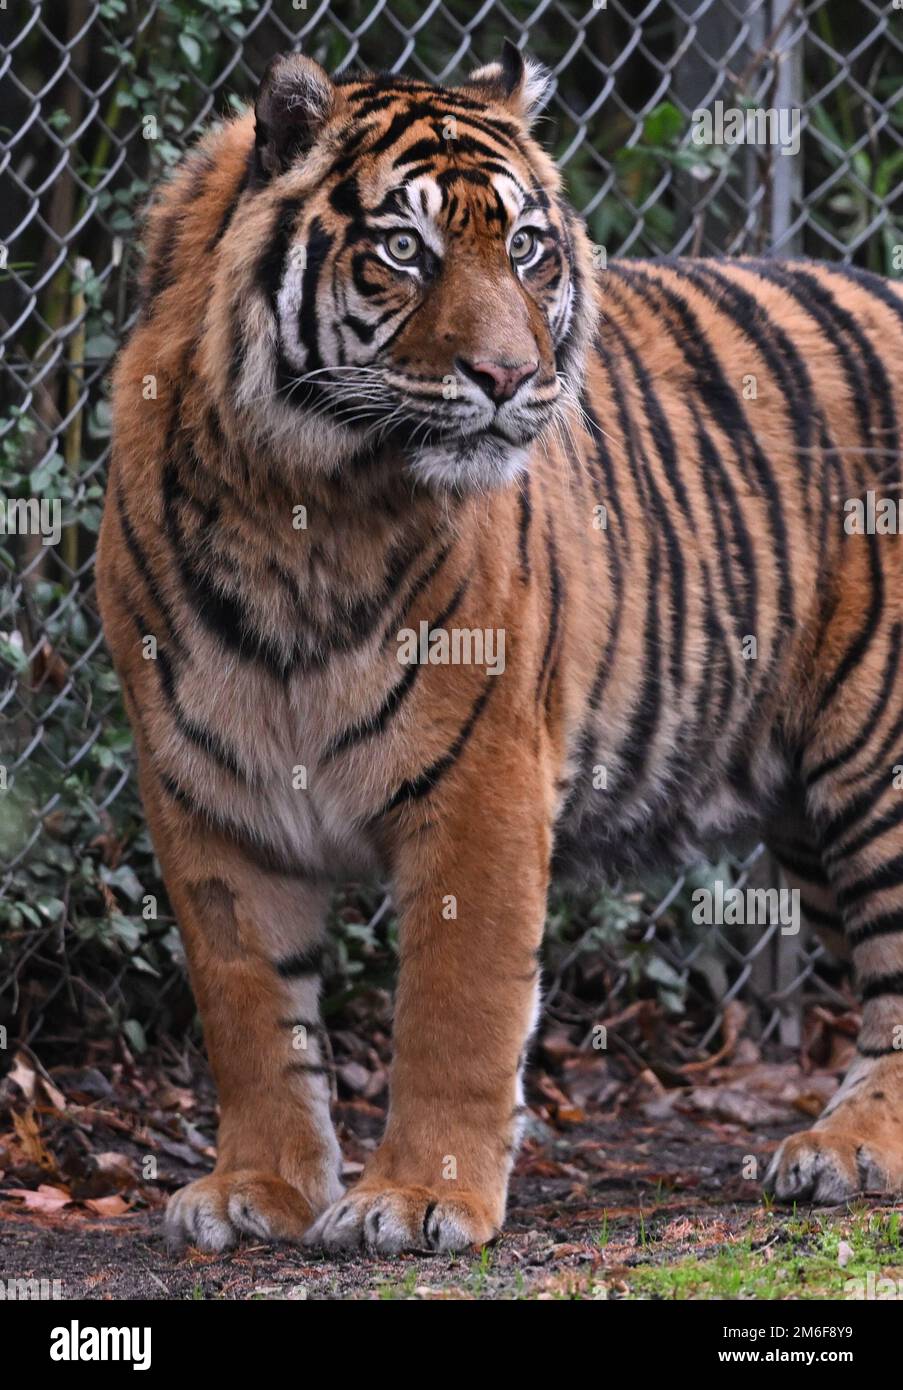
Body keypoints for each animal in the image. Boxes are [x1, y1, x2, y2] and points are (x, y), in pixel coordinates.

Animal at [97, 42, 903, 1256]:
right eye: (403, 250)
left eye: (525, 248)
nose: (509, 377)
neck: (299, 510)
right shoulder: (203, 790)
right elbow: (250, 1014)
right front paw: (258, 1189)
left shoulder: (481, 776)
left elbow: (457, 1008)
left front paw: (419, 1197)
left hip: (878, 756)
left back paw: (845, 1150)